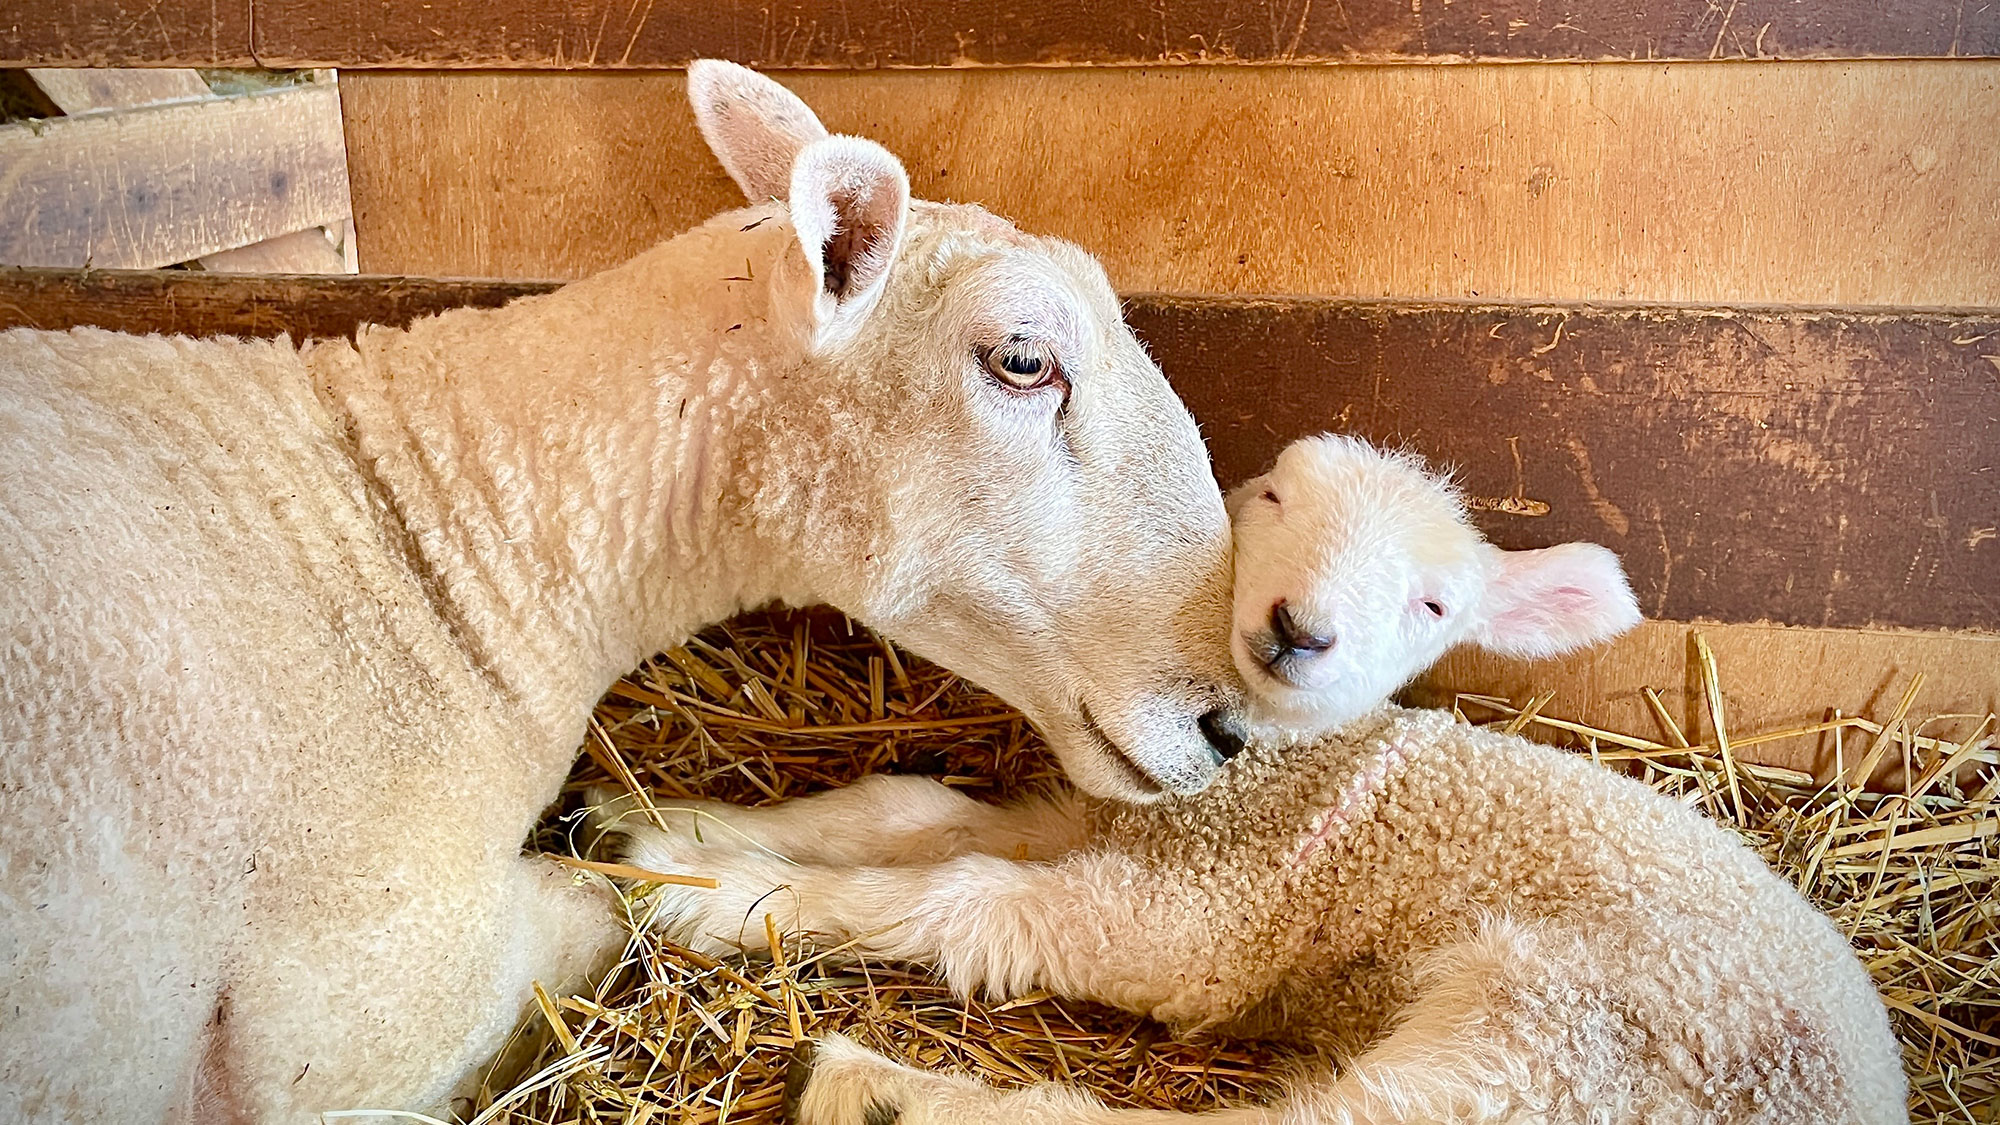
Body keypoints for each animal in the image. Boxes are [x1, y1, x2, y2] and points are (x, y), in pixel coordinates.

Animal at [607, 435, 1909, 1125]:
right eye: (1274, 496)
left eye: (1433, 605)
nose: (1298, 629)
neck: (1261, 775)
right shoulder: (1113, 822)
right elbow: (907, 810)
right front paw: (668, 825)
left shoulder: (1203, 920)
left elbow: (959, 896)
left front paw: (716, 900)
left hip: (1545, 1058)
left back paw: (869, 1083)